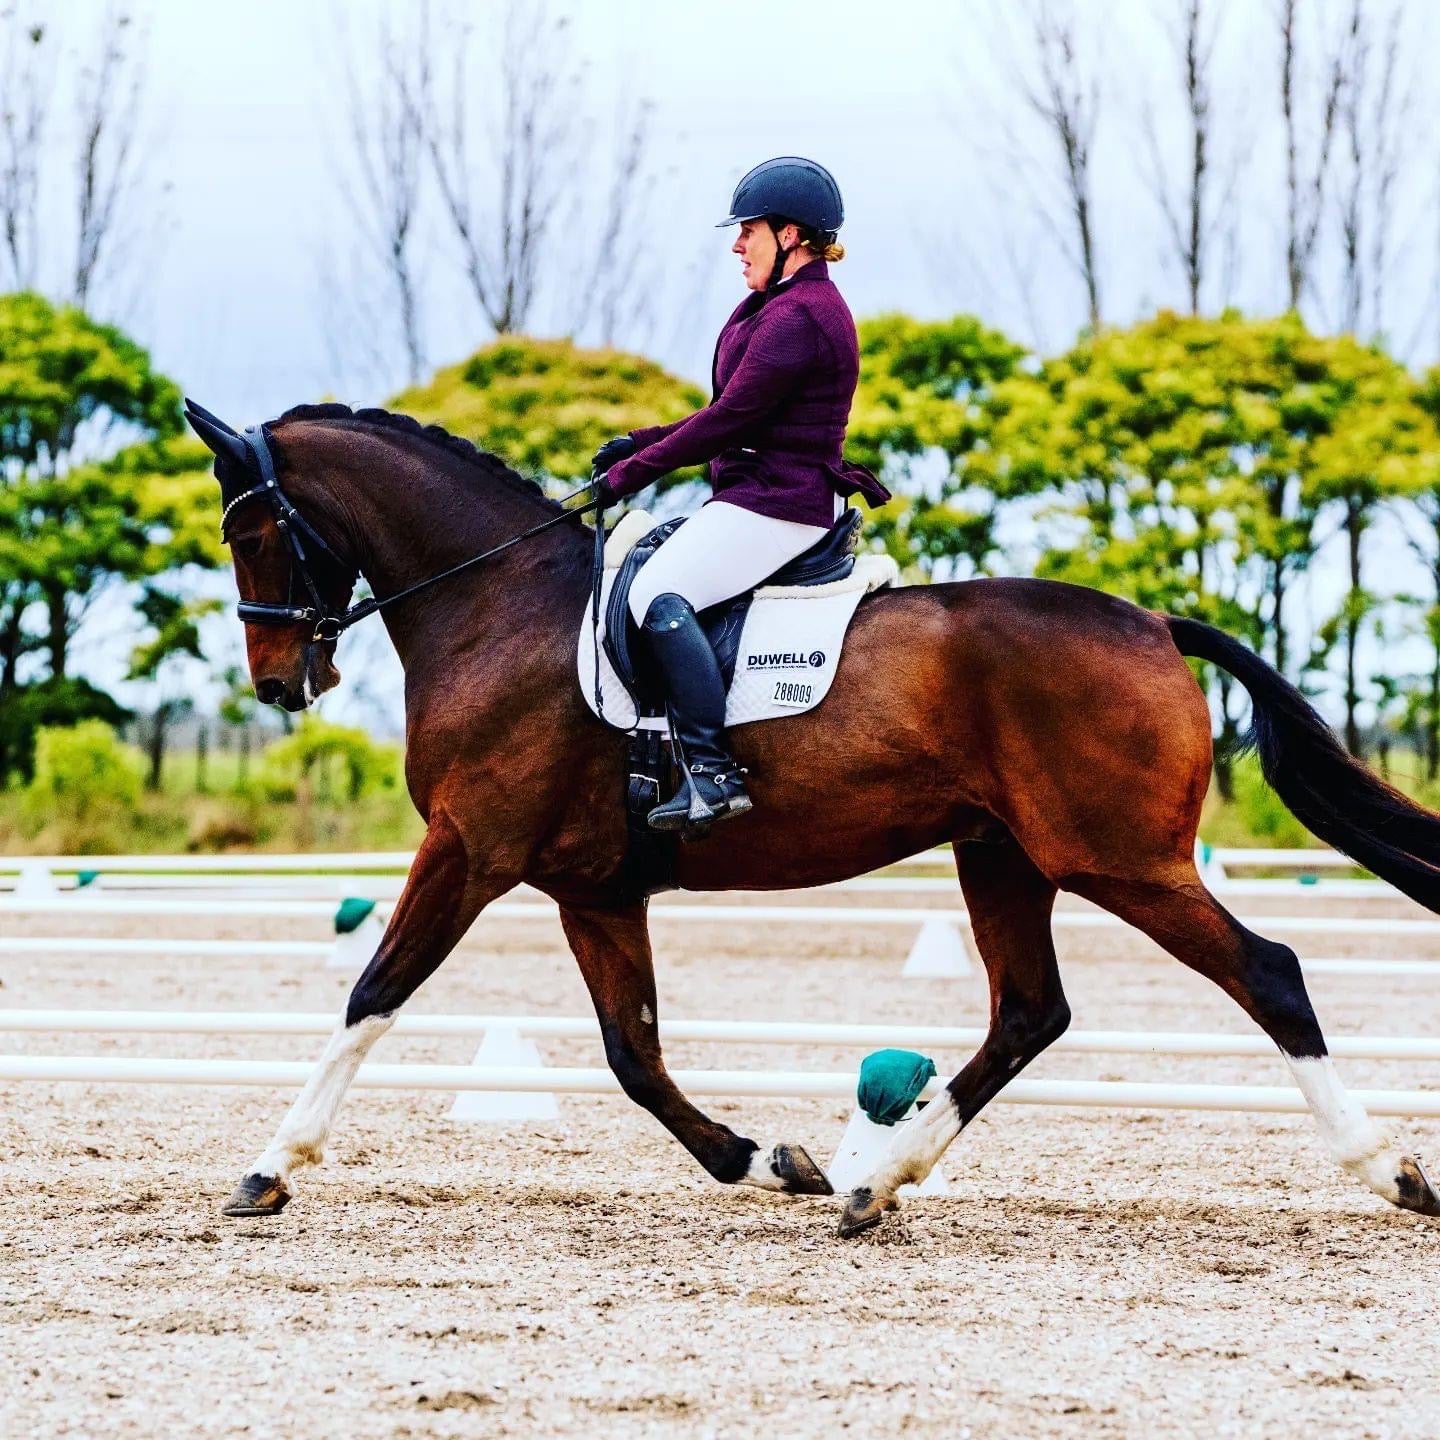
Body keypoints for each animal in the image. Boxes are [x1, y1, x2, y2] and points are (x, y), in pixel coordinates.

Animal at [185, 399, 1440, 1238]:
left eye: (251, 532)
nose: (279, 684)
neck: (499, 606)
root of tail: (1152, 622)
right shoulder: (594, 888)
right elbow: (633, 1053)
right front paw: (761, 1158)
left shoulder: (468, 850)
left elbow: (371, 995)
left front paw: (269, 1167)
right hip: (1002, 856)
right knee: (1030, 1012)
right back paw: (871, 1184)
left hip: (1118, 860)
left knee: (1268, 972)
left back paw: (1389, 1171)